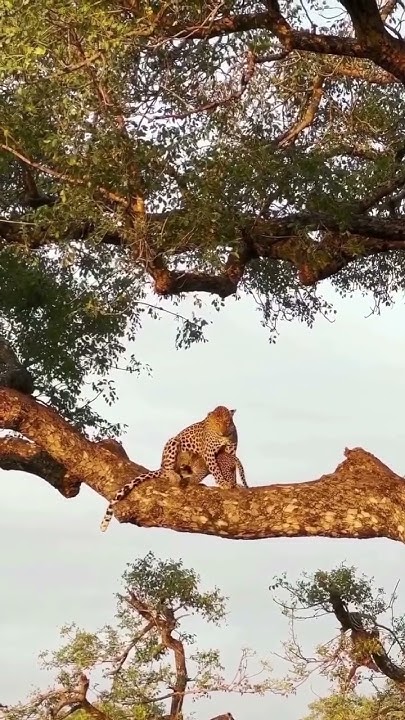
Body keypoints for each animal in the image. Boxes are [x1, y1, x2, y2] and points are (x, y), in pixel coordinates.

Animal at [100, 405, 245, 532]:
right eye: (217, 423)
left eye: (227, 422)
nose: (222, 432)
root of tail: (161, 465)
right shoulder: (209, 453)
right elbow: (216, 469)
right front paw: (223, 483)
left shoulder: (230, 452)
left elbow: (231, 470)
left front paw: (234, 483)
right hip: (173, 443)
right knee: (166, 470)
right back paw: (173, 474)